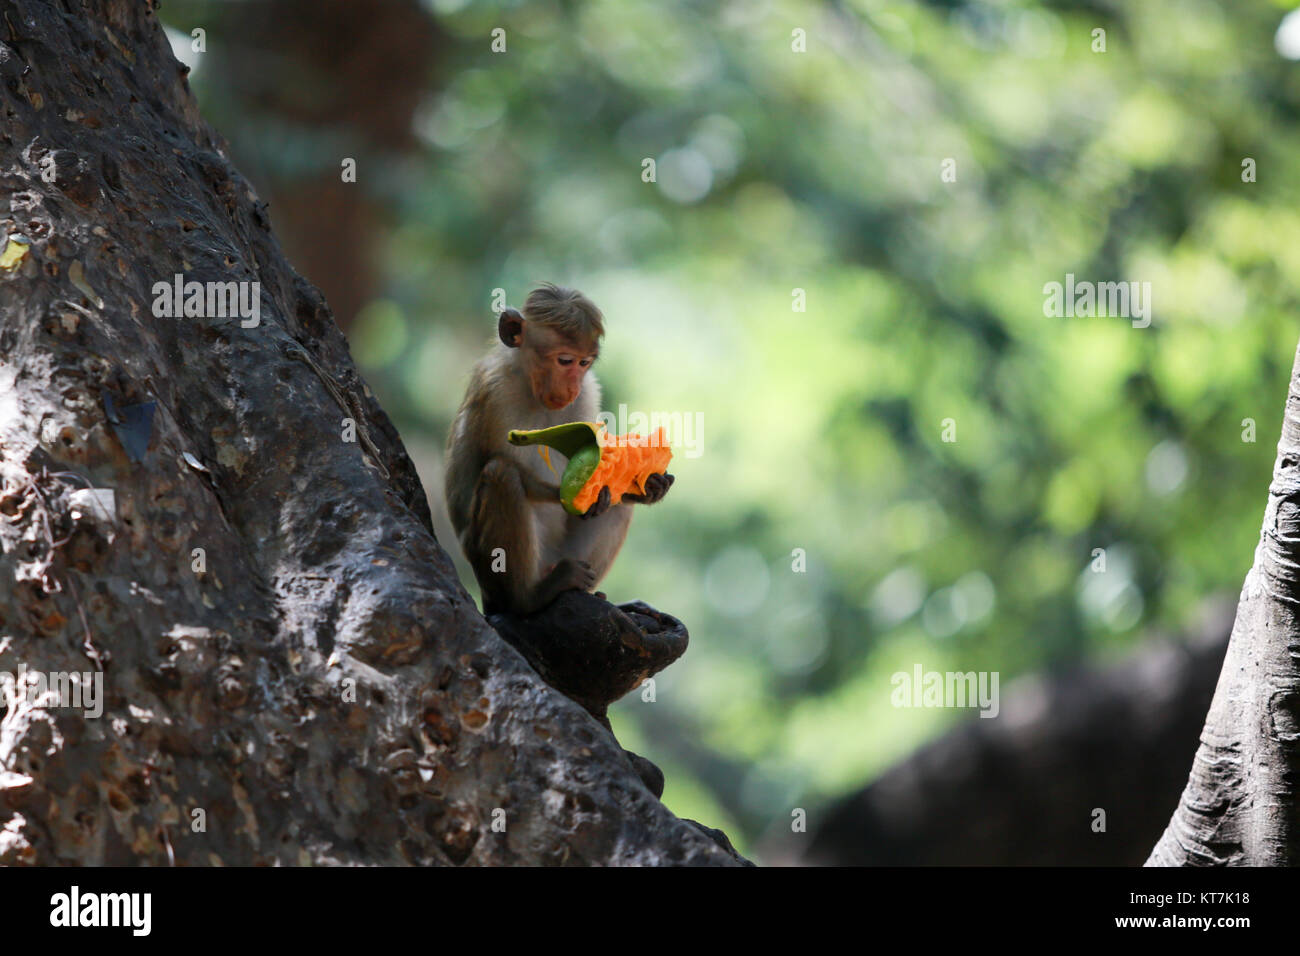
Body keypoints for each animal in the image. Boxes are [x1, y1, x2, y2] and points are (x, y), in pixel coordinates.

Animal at [444, 283, 674, 616]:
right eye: (565, 360)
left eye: (584, 363)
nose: (572, 386)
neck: (529, 383)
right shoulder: (496, 391)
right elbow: (510, 465)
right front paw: (576, 496)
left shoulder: (589, 391)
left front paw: (648, 487)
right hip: (494, 572)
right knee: (502, 475)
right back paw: (529, 597)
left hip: (565, 553)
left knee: (618, 508)